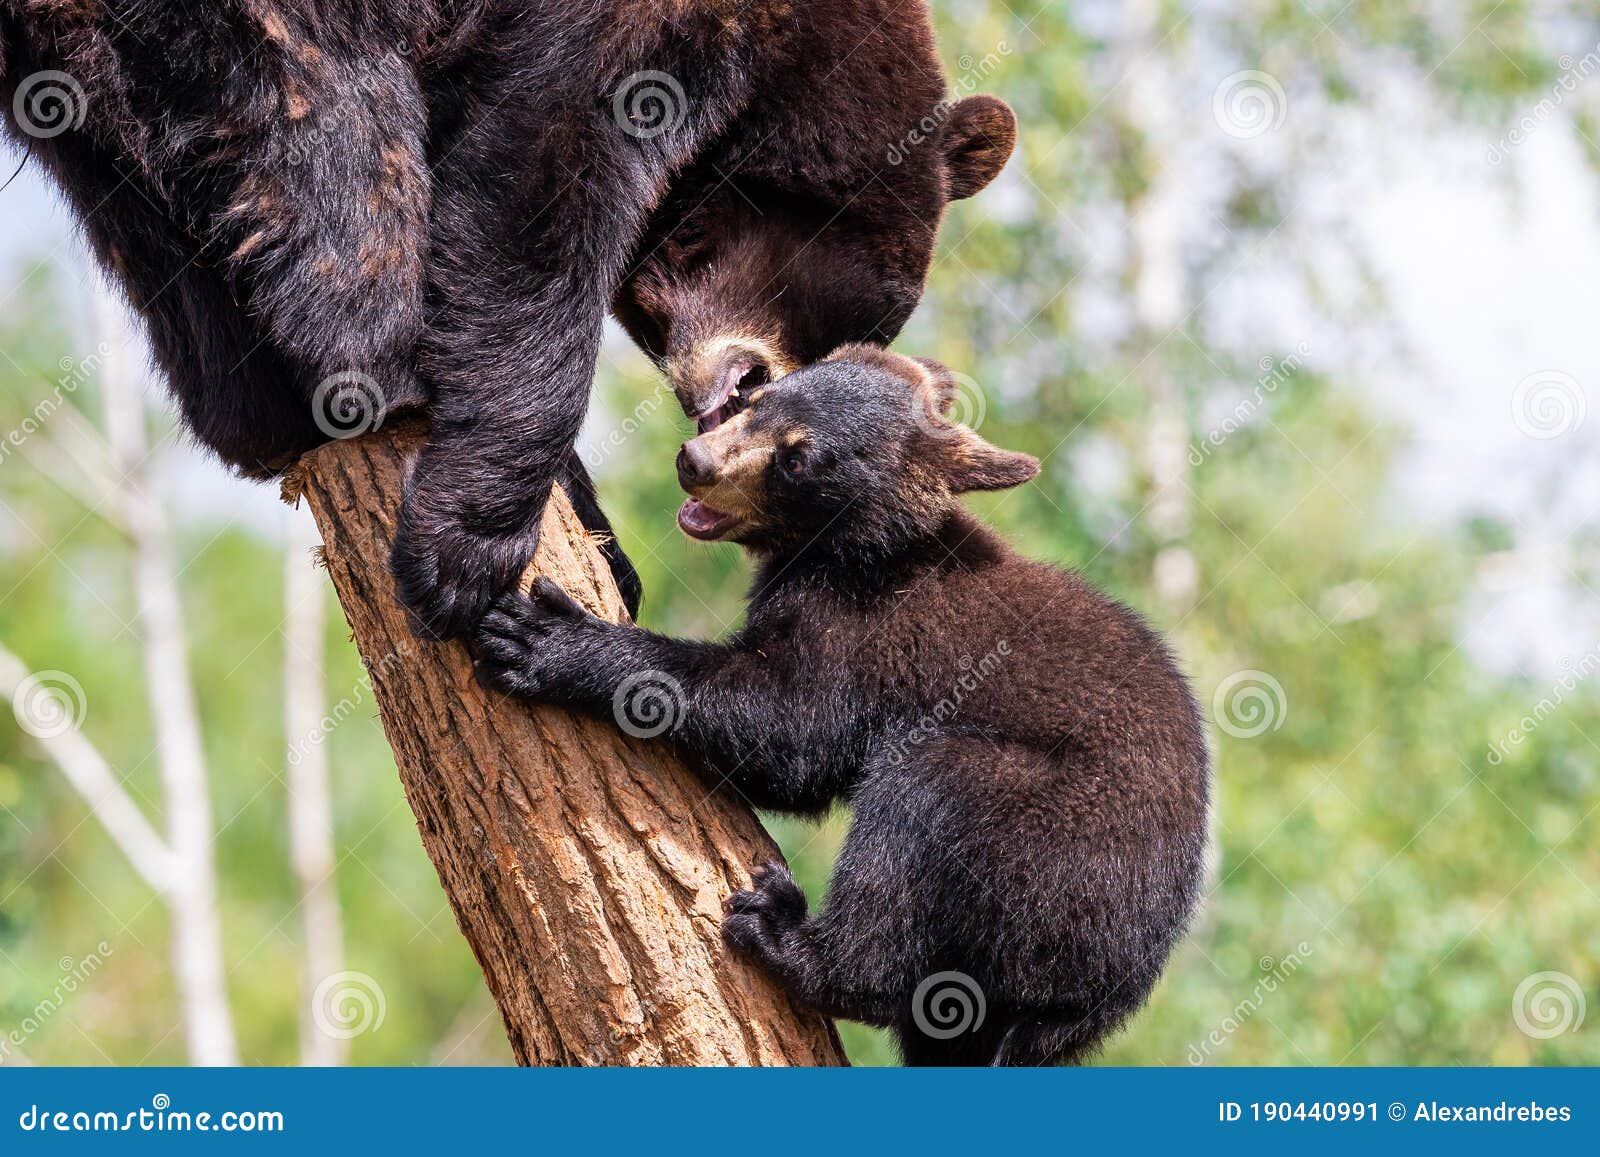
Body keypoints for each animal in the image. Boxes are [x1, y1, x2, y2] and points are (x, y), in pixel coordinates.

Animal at [0, 1, 1017, 638]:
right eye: (870, 310)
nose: (740, 393)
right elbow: (542, 172)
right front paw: (466, 547)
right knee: (319, 107)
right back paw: (380, 350)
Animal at [470, 346, 1212, 1066]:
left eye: (797, 459)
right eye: (758, 398)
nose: (694, 462)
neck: (850, 549)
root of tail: (1096, 995)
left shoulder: (860, 628)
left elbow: (790, 732)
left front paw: (547, 638)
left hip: (1046, 841)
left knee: (918, 808)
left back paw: (790, 935)